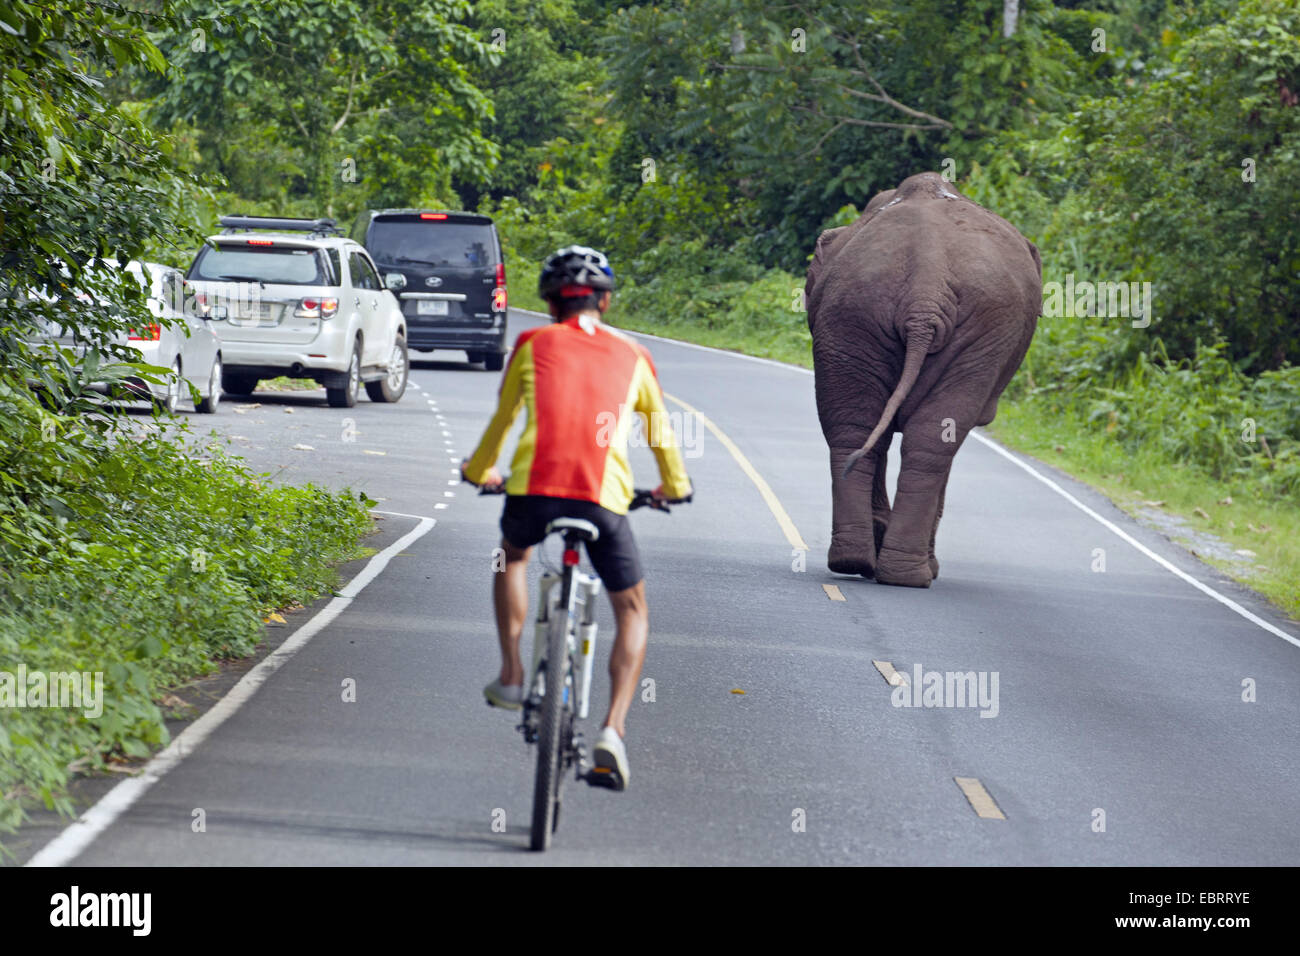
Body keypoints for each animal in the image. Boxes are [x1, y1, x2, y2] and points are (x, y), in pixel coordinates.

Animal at [805, 171, 1041, 588]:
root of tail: (925, 293)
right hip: (973, 330)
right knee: (927, 440)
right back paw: (911, 574)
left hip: (853, 316)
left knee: (859, 431)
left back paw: (858, 563)